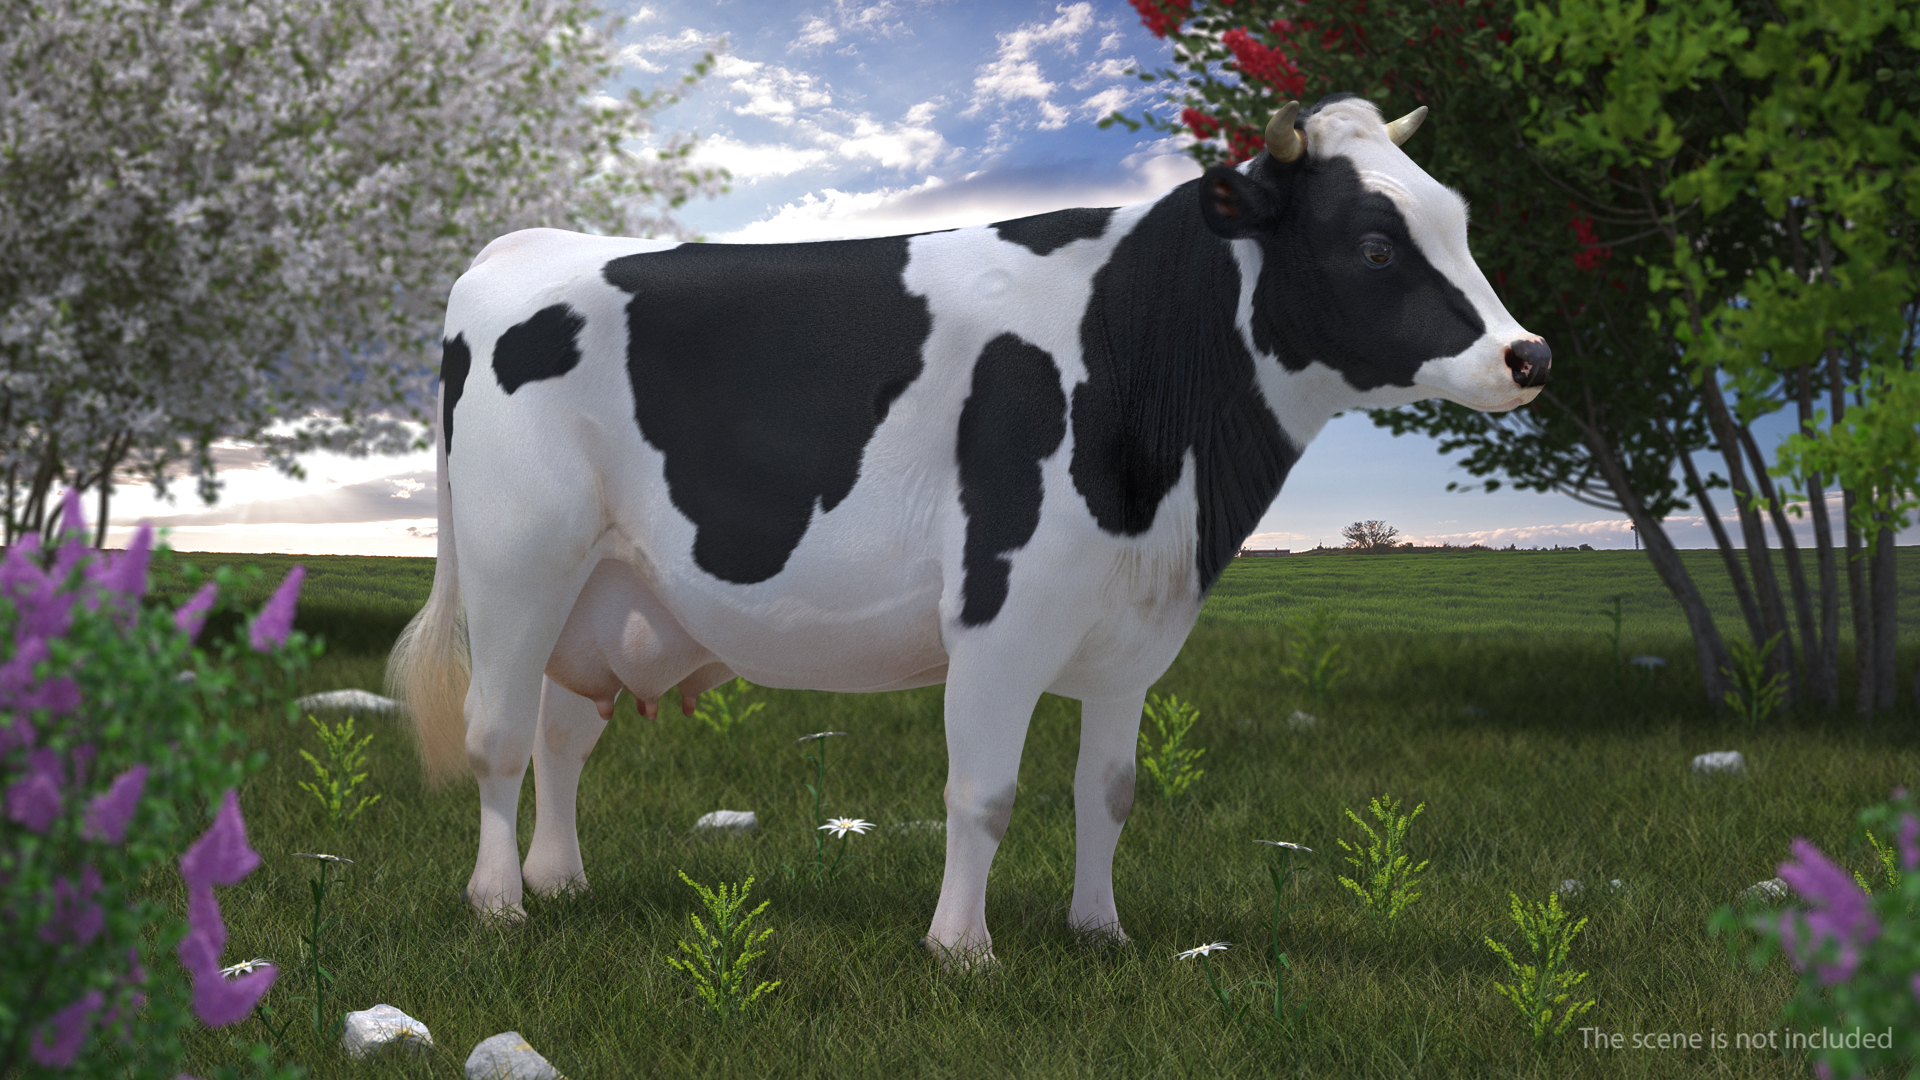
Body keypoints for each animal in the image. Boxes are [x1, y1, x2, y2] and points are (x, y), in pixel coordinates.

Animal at [388, 94, 1550, 961]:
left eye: (1457, 223)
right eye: (1374, 244)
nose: (1529, 354)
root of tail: (519, 248)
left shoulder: (1131, 631)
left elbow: (1110, 791)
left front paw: (1100, 931)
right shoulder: (1002, 611)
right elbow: (984, 792)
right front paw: (962, 950)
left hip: (601, 584)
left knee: (561, 731)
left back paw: (561, 881)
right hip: (517, 560)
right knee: (498, 733)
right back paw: (498, 902)